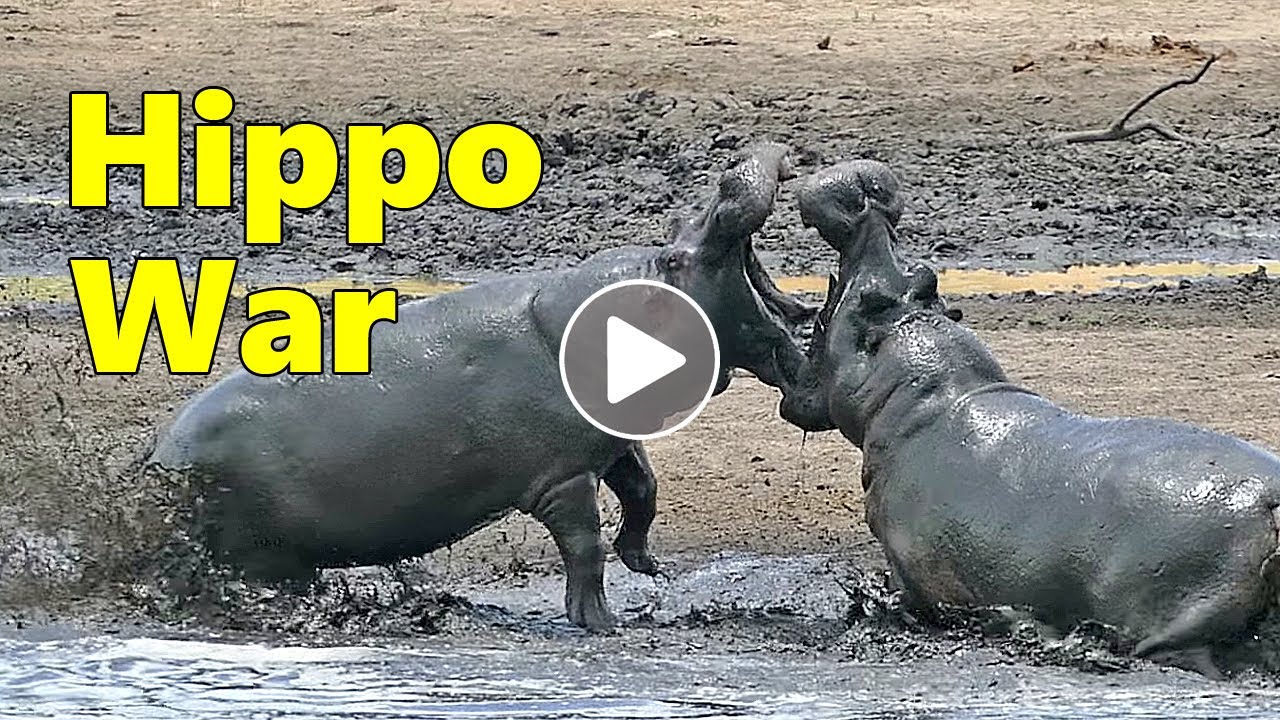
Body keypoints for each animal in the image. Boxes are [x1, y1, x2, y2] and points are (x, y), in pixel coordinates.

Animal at [148, 142, 816, 632]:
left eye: (680, 224)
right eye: (676, 256)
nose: (730, 173)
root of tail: (160, 456)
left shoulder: (609, 443)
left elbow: (644, 491)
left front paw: (647, 565)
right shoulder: (560, 478)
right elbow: (585, 546)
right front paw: (601, 624)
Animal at [778, 159, 1280, 677]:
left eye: (870, 301)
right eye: (925, 277)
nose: (866, 194)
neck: (928, 398)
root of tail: (1271, 502)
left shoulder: (908, 576)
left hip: (1182, 621)